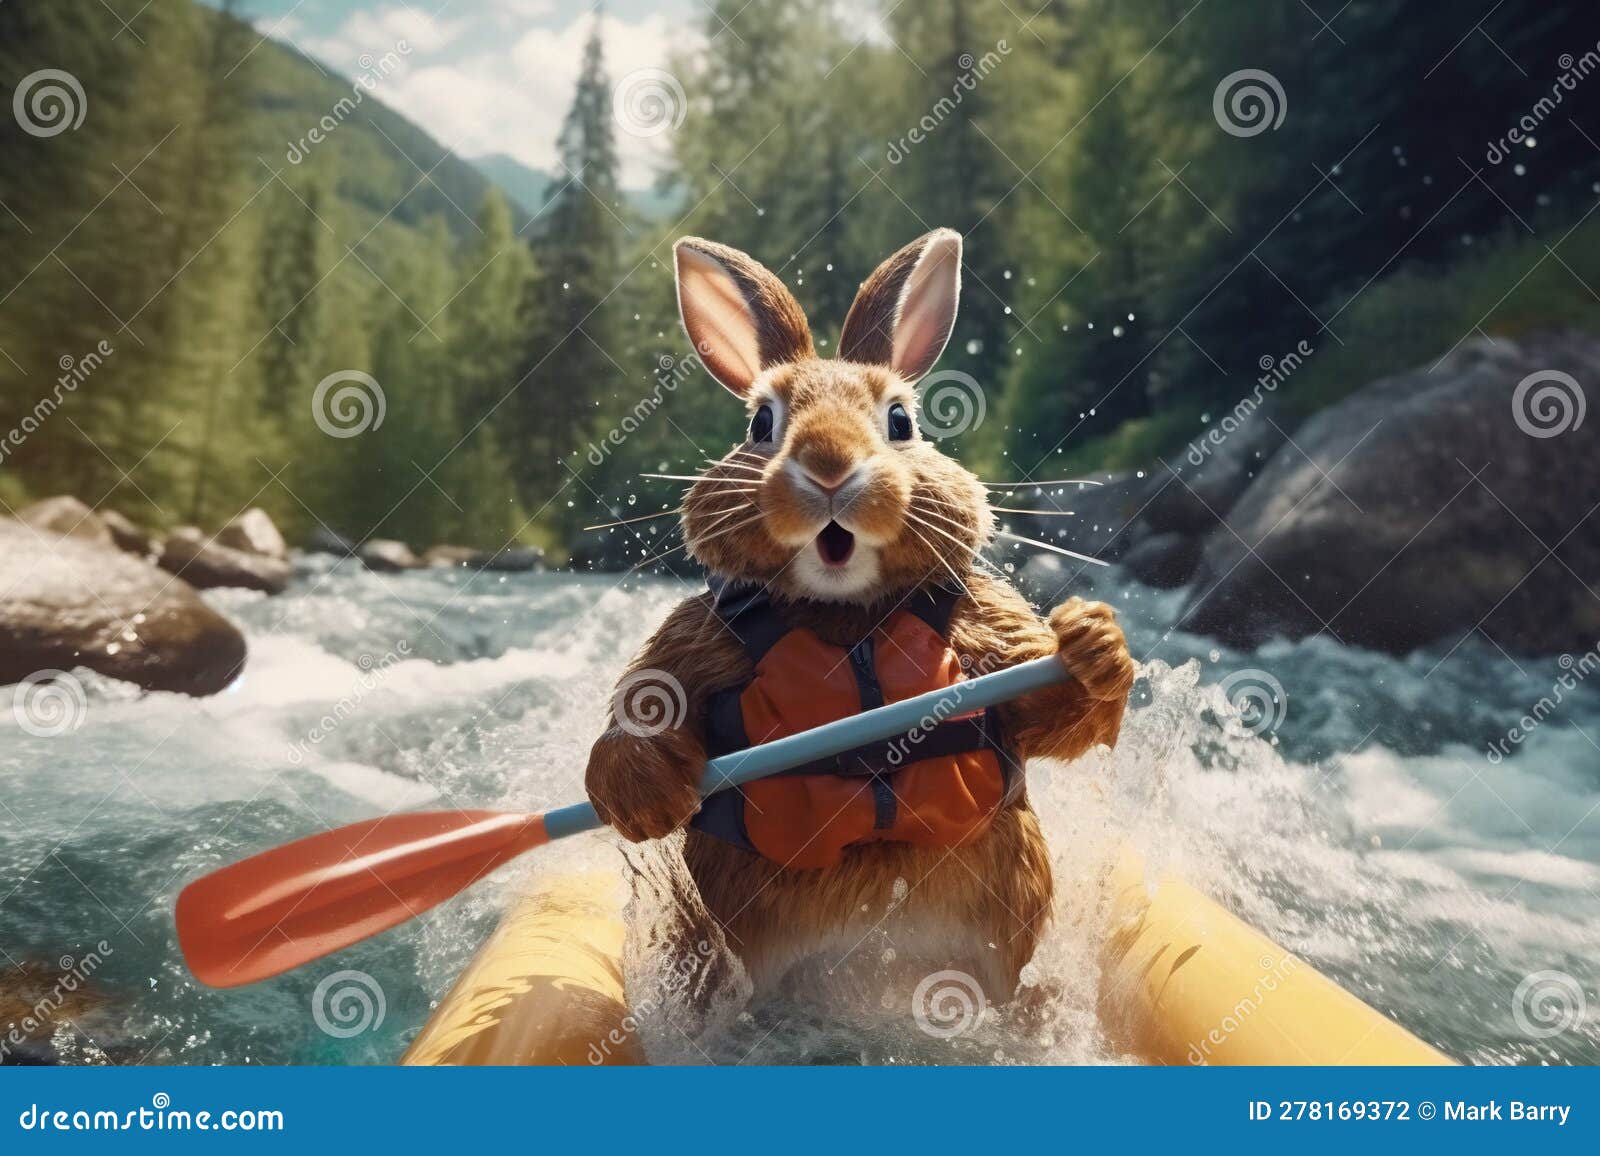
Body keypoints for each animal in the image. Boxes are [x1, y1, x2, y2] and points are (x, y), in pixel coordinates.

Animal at [586, 228, 1136, 1008]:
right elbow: (651, 700)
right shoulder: (701, 633)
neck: (849, 617)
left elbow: (1057, 710)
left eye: (901, 421)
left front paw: (1093, 642)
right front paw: (642, 794)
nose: (828, 464)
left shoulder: (982, 619)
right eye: (761, 422)